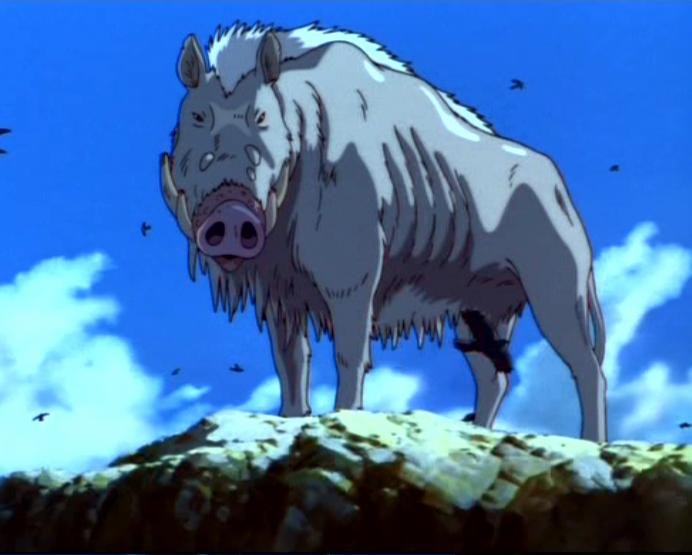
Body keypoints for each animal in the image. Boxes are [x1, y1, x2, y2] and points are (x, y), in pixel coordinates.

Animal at [161, 22, 608, 442]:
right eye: (194, 120)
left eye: (262, 119)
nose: (231, 216)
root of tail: (564, 192)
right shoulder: (278, 286)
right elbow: (290, 358)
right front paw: (290, 418)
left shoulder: (351, 276)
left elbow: (349, 352)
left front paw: (344, 417)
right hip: (485, 300)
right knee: (490, 368)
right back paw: (479, 433)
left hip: (555, 279)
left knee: (583, 361)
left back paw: (592, 442)